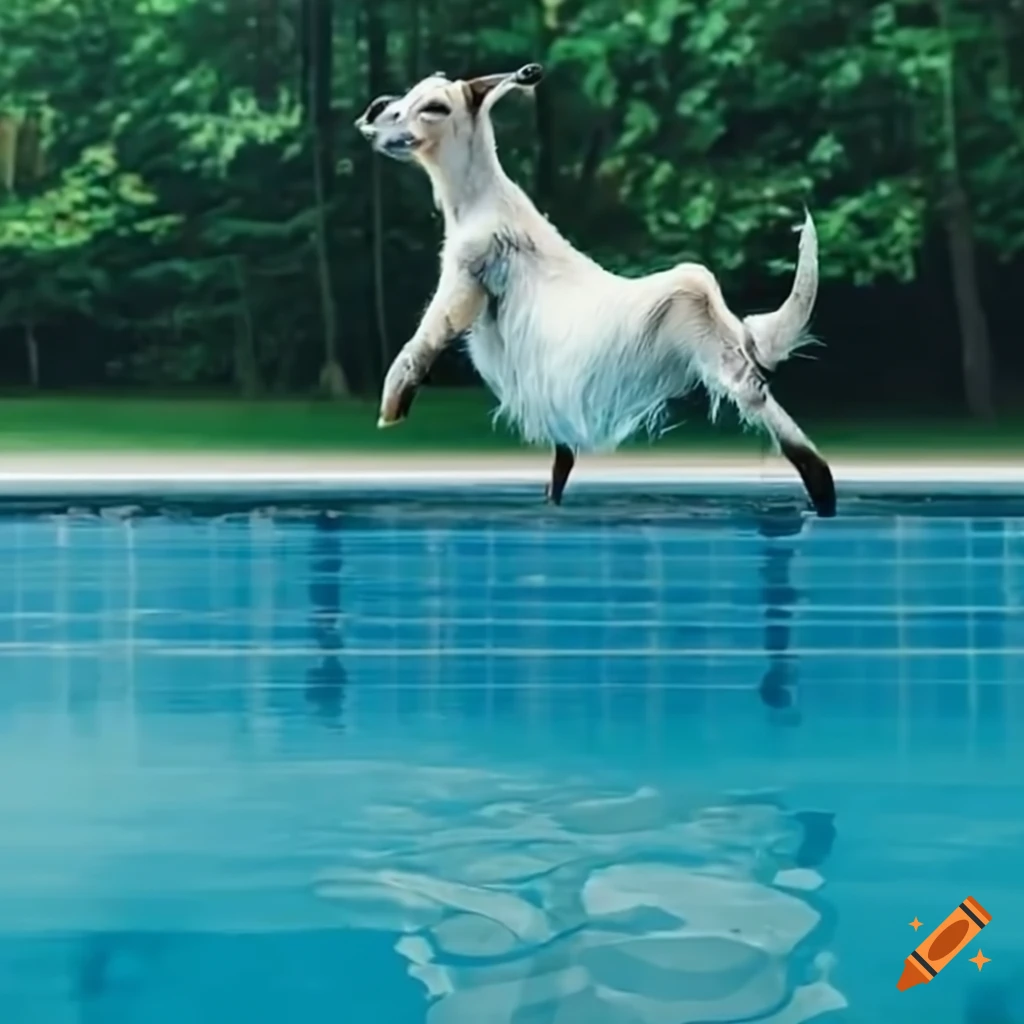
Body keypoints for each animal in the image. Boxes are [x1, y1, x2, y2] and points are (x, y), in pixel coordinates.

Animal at [355, 64, 836, 516]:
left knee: (769, 411)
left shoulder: (467, 273)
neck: (476, 202)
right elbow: (559, 462)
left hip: (699, 323)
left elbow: (425, 338)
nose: (375, 112)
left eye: (434, 107)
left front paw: (391, 408)